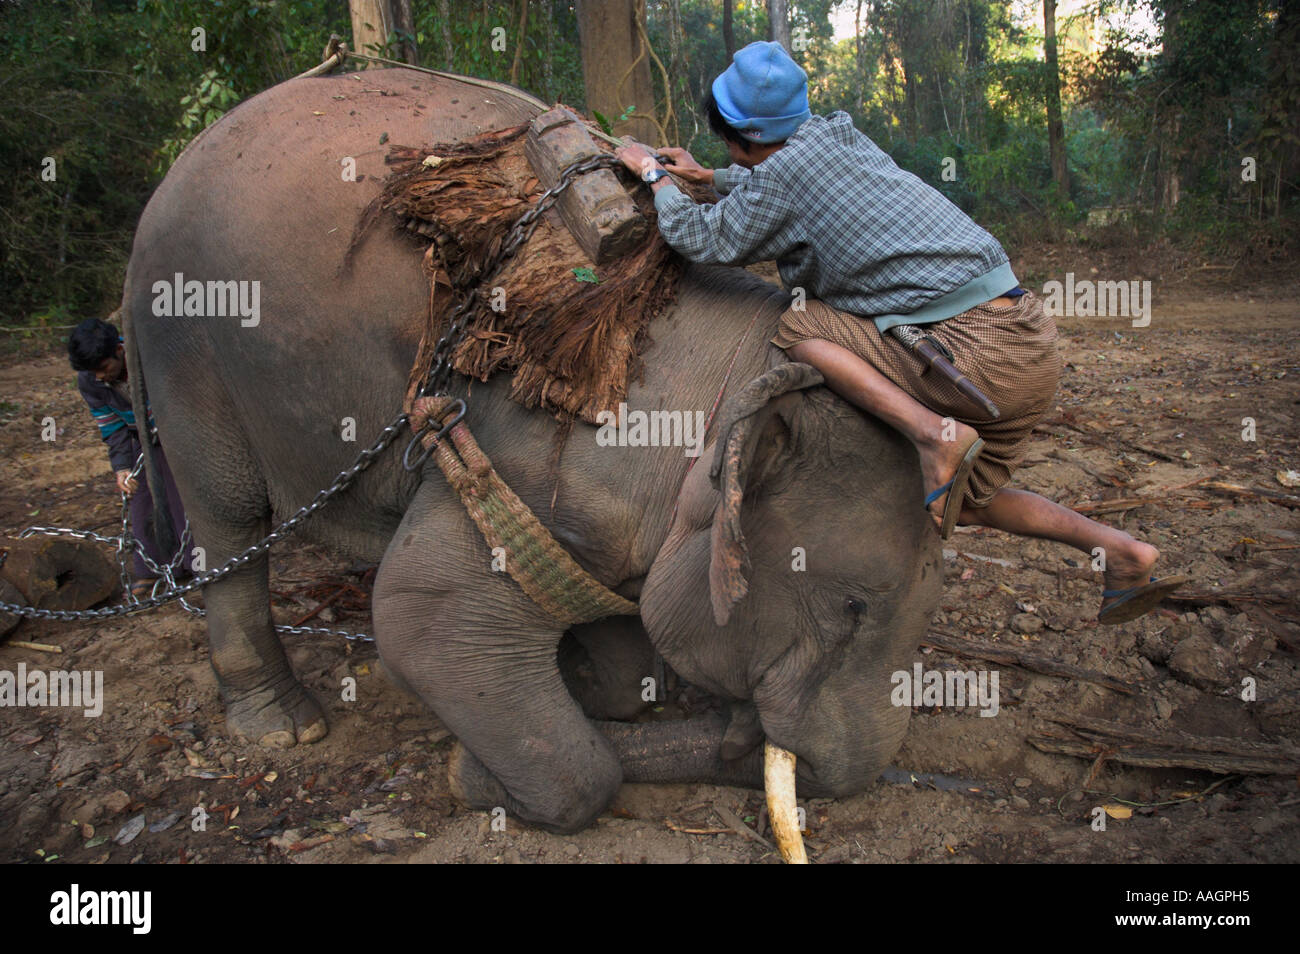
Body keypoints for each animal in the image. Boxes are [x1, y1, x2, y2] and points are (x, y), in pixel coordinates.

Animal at [122, 66, 942, 837]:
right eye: (852, 610)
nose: (742, 731)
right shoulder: (512, 444)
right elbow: (418, 614)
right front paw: (472, 774)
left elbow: (622, 654)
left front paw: (577, 680)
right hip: (188, 351)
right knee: (229, 517)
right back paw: (283, 726)